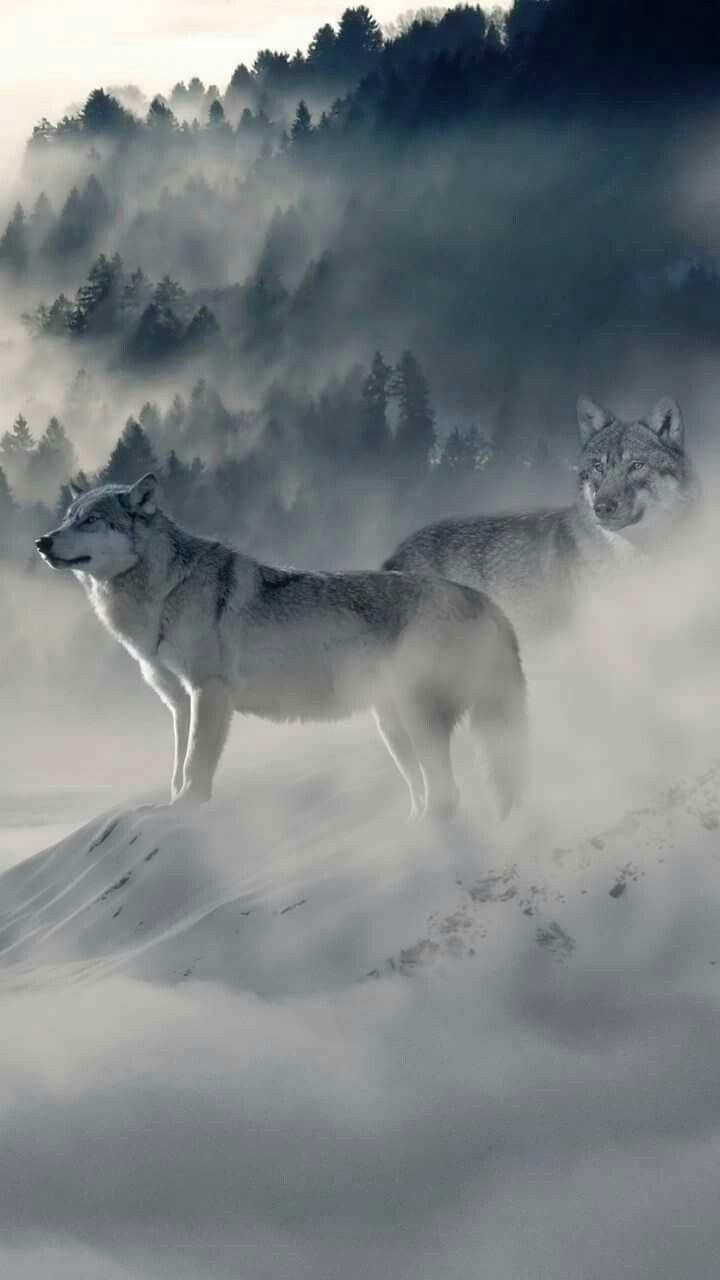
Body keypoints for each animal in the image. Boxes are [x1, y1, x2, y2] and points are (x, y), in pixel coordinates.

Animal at [35, 473, 528, 820]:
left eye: (90, 521)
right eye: (67, 517)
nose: (41, 541)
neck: (163, 592)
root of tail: (487, 603)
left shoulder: (209, 693)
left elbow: (194, 766)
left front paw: (188, 810)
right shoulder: (179, 702)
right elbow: (176, 769)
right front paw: (169, 808)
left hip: (416, 718)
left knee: (448, 795)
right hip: (393, 728)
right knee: (430, 792)